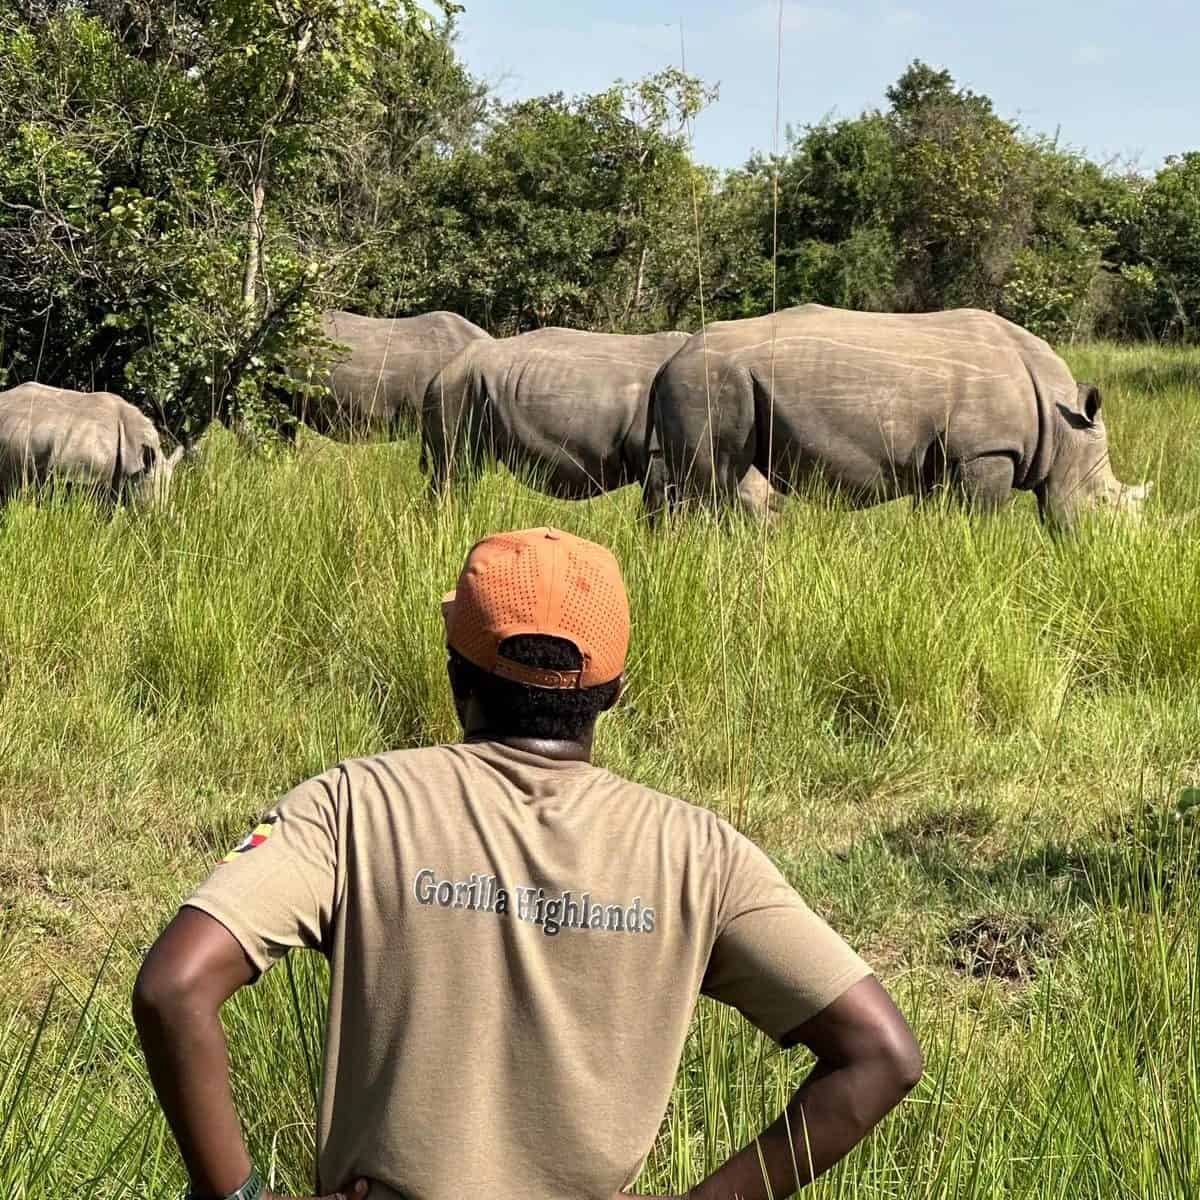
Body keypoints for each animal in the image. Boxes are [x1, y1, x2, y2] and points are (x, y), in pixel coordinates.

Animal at [422, 328, 689, 502]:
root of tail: (441, 371)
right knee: (453, 468)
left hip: (472, 384)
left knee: (468, 470)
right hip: (457, 386)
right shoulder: (659, 456)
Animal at [652, 304, 1150, 527]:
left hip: (705, 381)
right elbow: (983, 519)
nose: (1110, 554)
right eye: (1103, 502)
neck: (1064, 423)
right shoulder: (988, 451)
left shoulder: (945, 458)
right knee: (711, 484)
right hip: (711, 381)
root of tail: (669, 360)